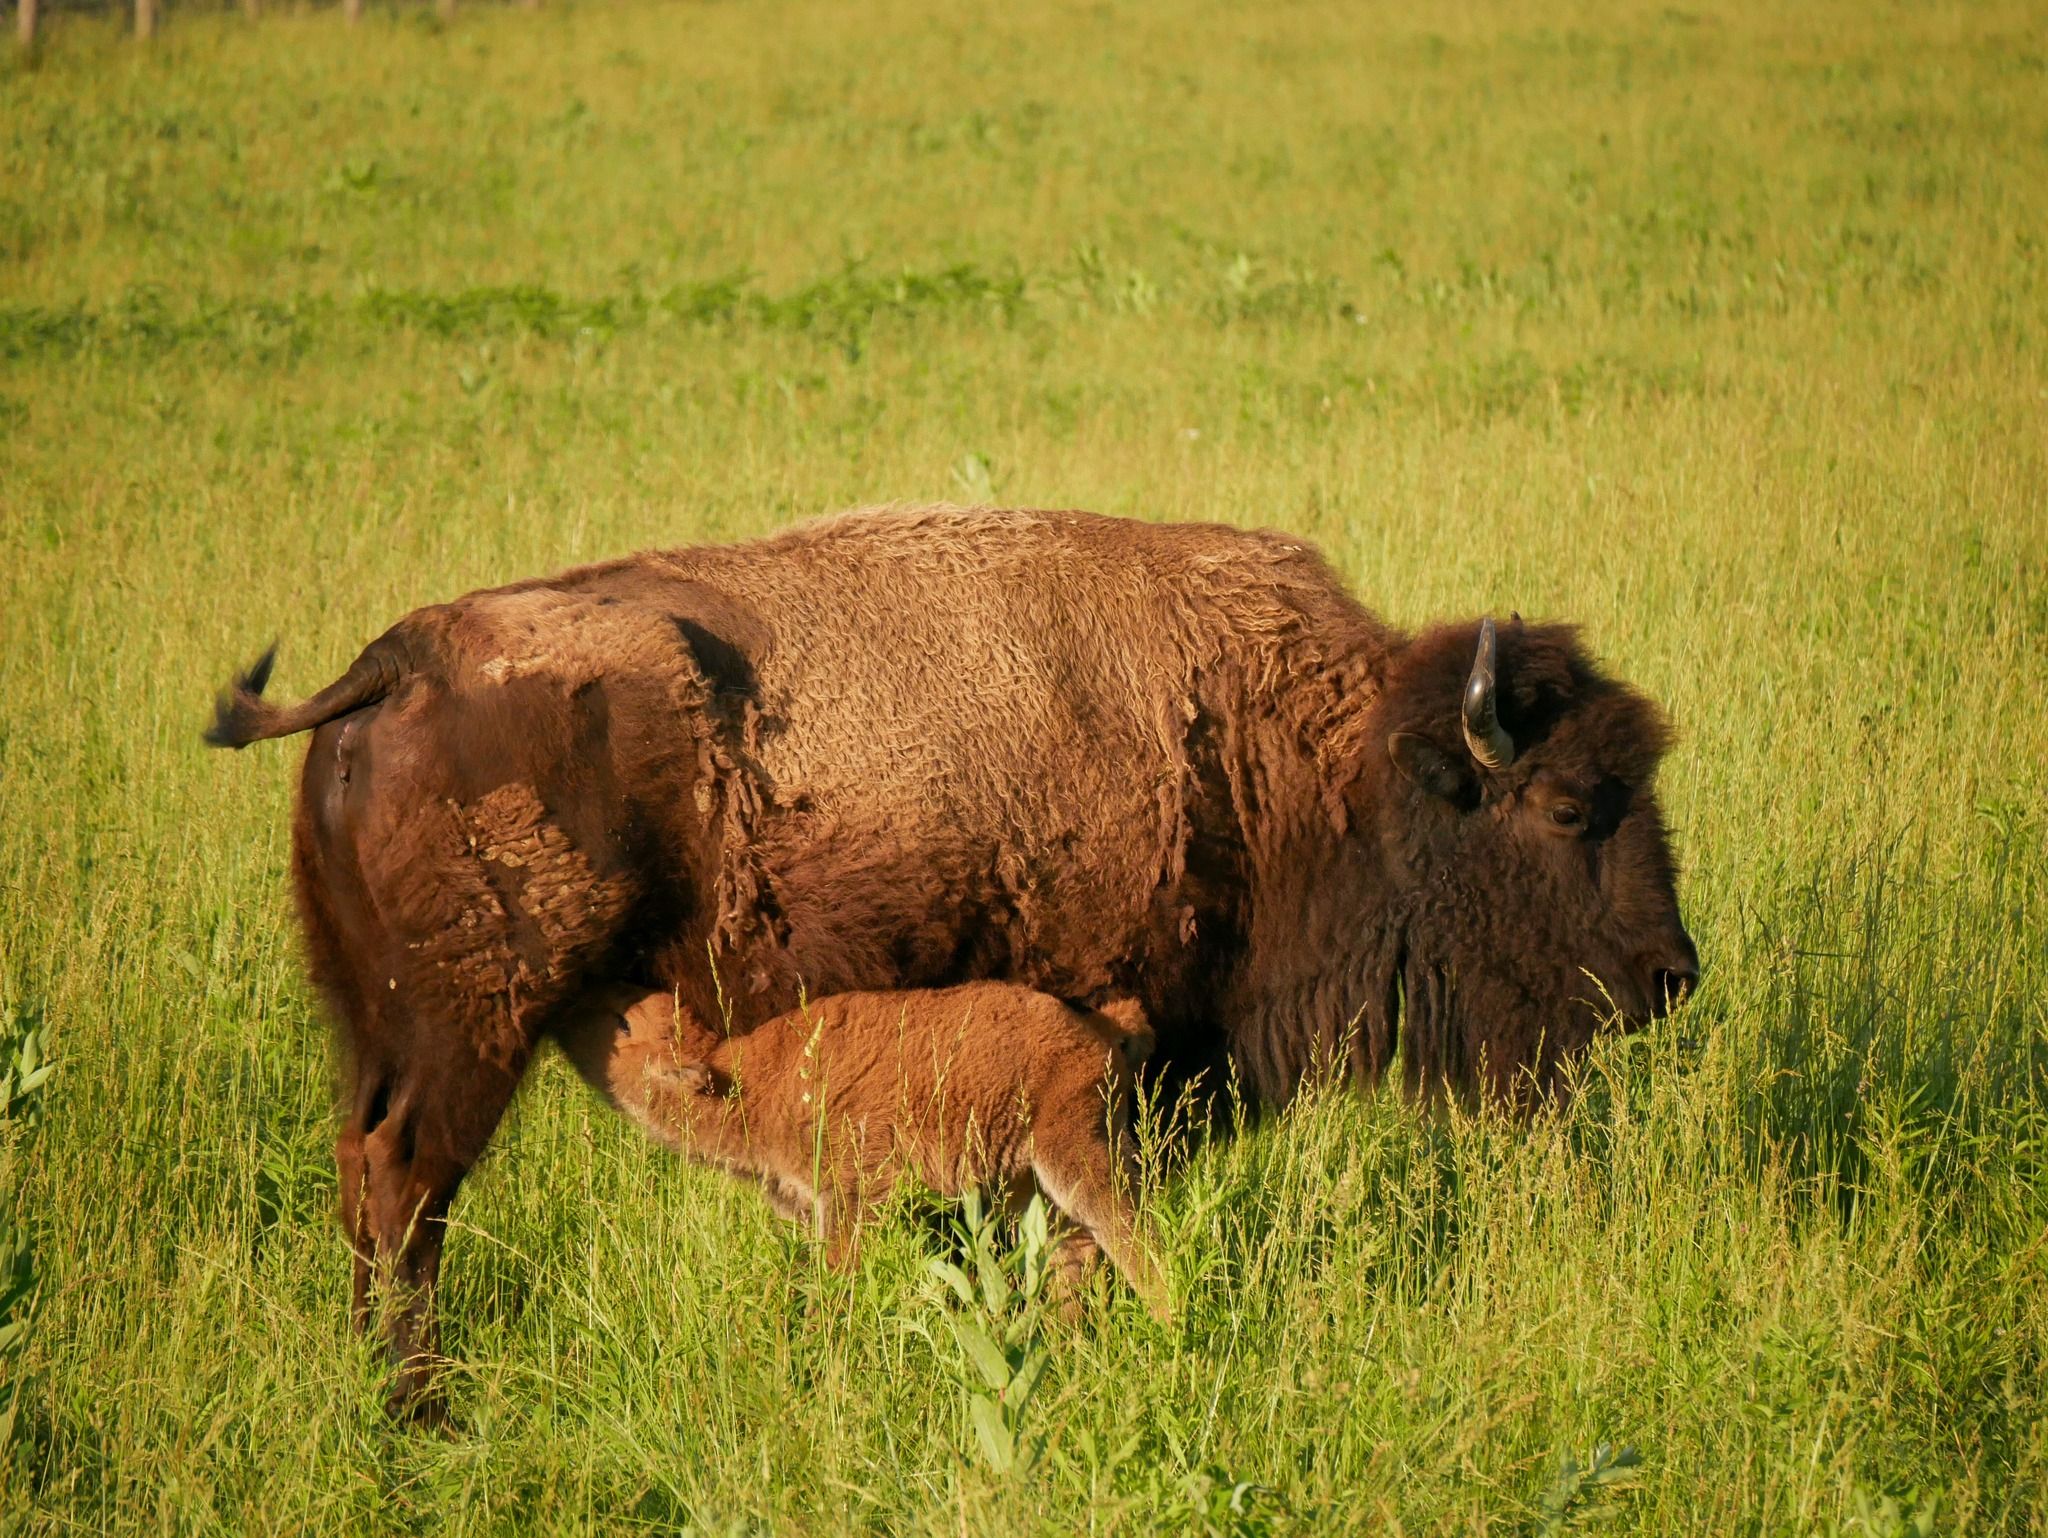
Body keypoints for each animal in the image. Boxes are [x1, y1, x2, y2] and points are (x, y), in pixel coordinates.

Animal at [206, 505, 1697, 1418]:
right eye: (1573, 807)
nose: (1672, 973)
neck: (1294, 758)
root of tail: (398, 656)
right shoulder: (1125, 1051)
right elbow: (1085, 1225)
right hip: (468, 1028)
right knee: (407, 1188)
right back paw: (424, 1411)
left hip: (378, 1026)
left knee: (369, 1181)